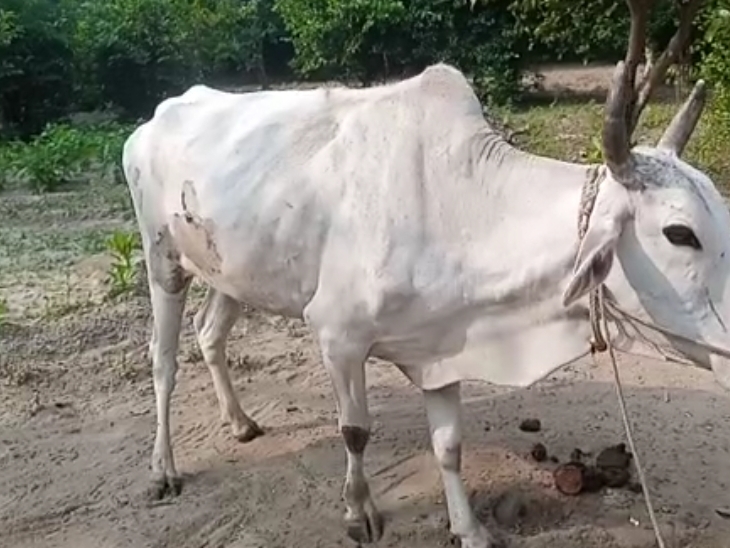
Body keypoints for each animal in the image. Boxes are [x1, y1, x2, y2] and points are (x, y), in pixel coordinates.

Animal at [122, 60, 730, 548]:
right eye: (680, 234)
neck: (456, 207)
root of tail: (156, 117)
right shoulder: (337, 336)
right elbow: (355, 432)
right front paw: (360, 513)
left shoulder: (443, 344)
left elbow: (449, 446)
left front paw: (469, 528)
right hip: (162, 262)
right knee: (163, 362)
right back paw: (162, 469)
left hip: (234, 273)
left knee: (210, 334)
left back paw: (240, 422)